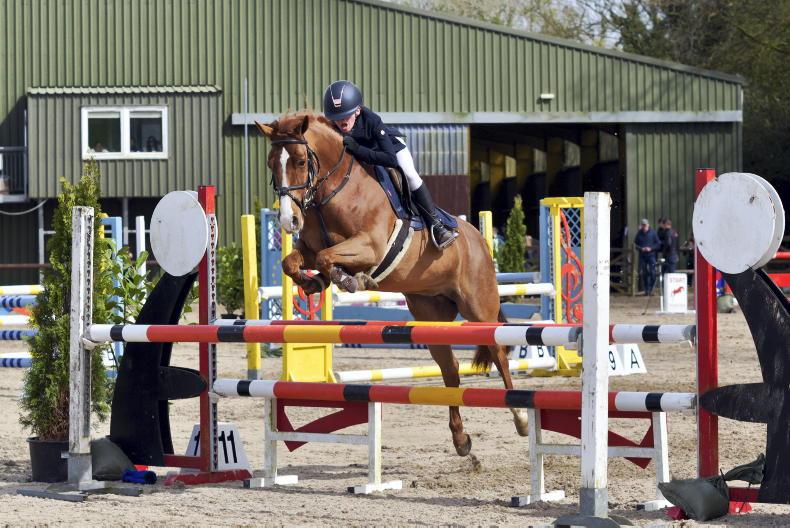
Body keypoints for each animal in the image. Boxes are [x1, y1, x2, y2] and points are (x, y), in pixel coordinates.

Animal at [256, 112, 528, 456]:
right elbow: (294, 262)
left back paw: (521, 418)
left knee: (500, 355)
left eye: (302, 161)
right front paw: (315, 283)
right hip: (430, 315)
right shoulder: (309, 248)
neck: (332, 192)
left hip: (479, 310)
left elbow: (328, 258)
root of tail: (478, 239)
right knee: (450, 369)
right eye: (271, 163)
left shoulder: (369, 246)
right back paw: (461, 439)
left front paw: (350, 279)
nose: (288, 221)